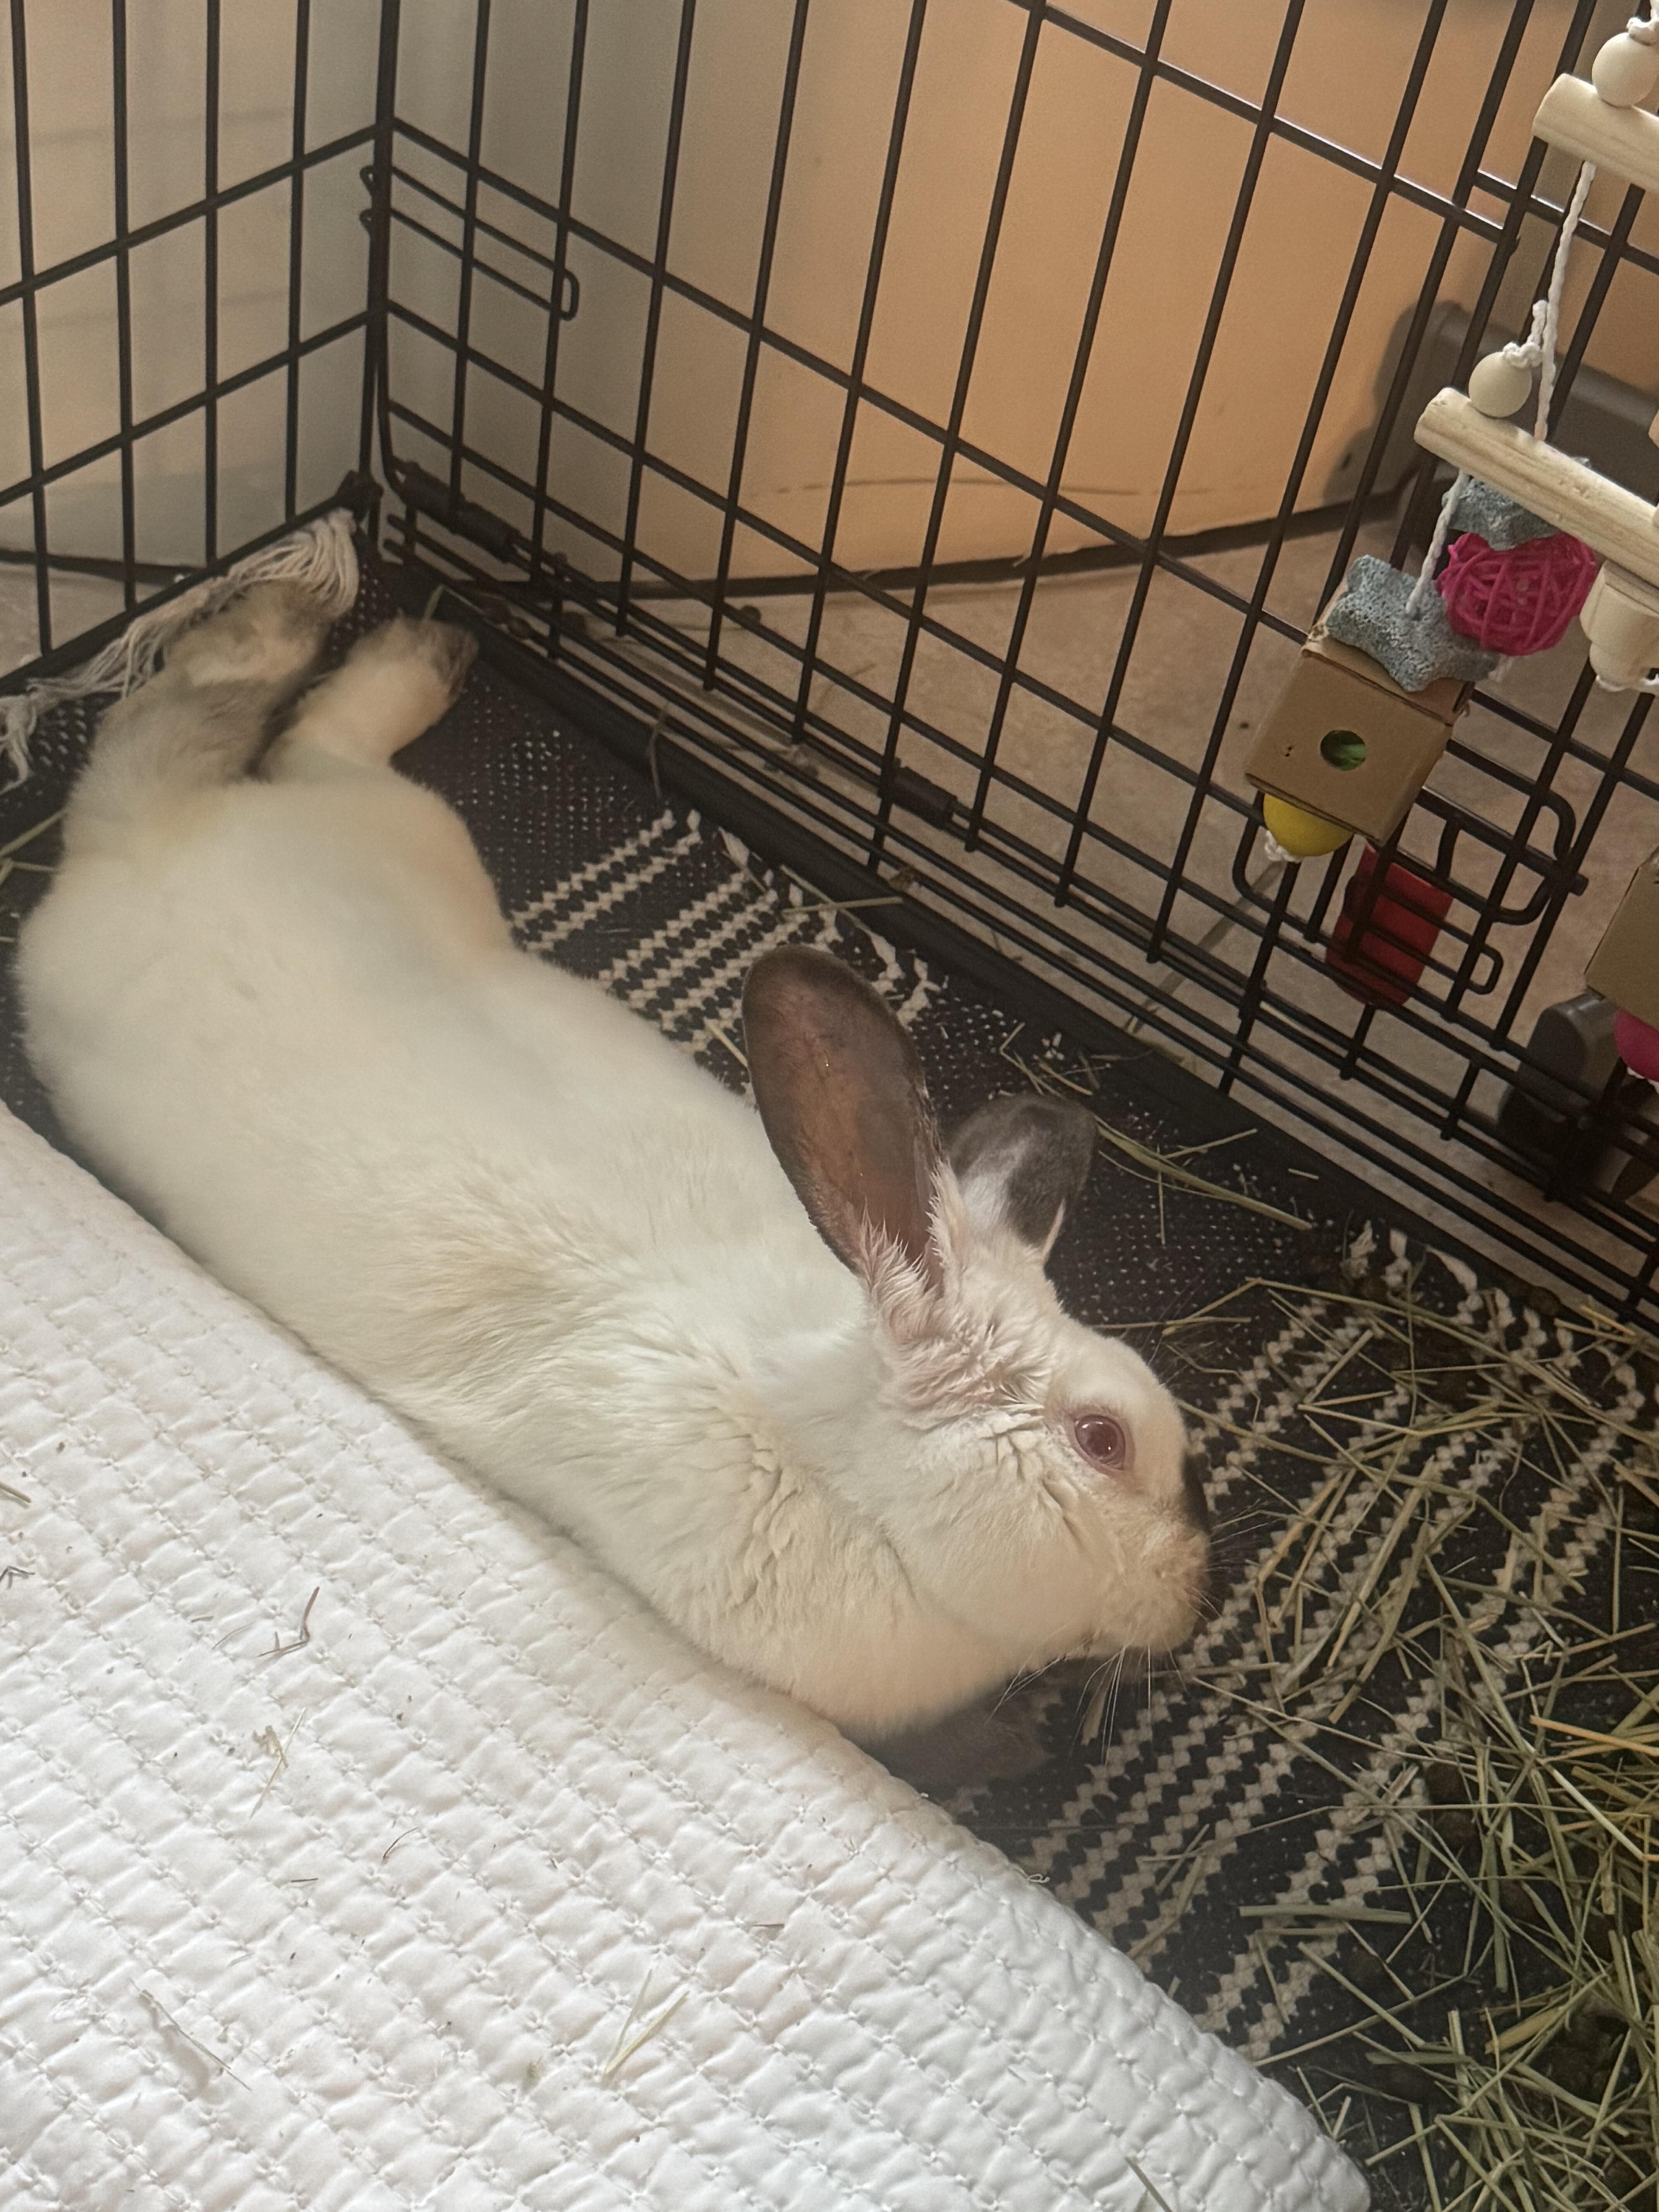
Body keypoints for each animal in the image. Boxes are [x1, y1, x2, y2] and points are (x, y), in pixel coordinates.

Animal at [18, 582, 1211, 1743]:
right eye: (1102, 1440)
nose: (1193, 1596)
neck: (830, 1452)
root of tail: (132, 849)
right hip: (386, 828)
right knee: (277, 738)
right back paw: (388, 641)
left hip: (413, 843)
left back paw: (344, 631)